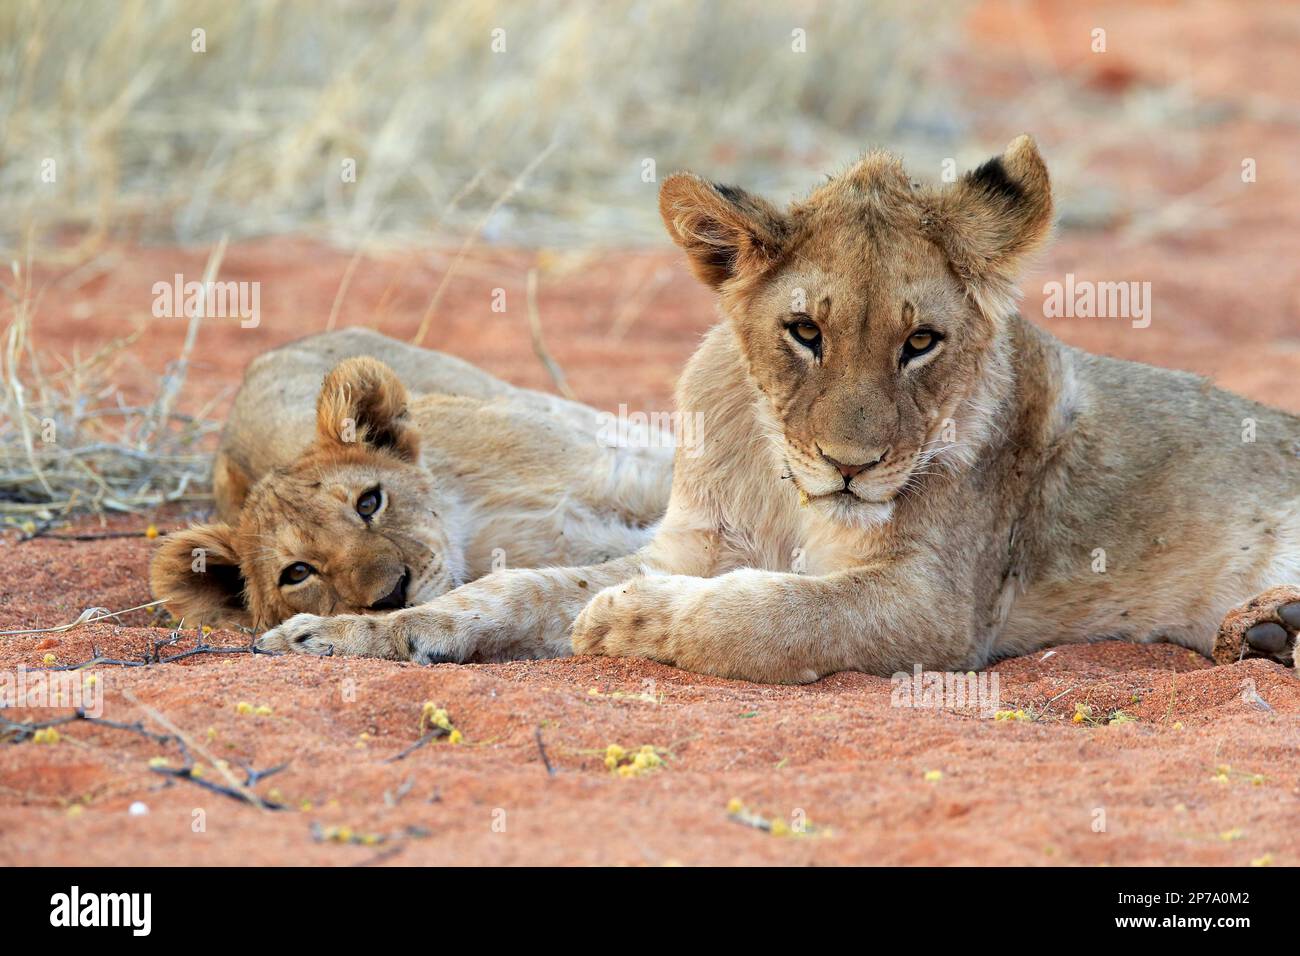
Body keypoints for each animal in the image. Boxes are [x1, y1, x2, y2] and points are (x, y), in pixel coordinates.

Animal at [256, 136, 1300, 682]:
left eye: (921, 343)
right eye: (805, 331)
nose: (852, 466)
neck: (779, 480)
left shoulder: (935, 608)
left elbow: (767, 616)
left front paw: (626, 623)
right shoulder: (685, 545)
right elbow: (513, 590)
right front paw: (353, 634)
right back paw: (1267, 631)